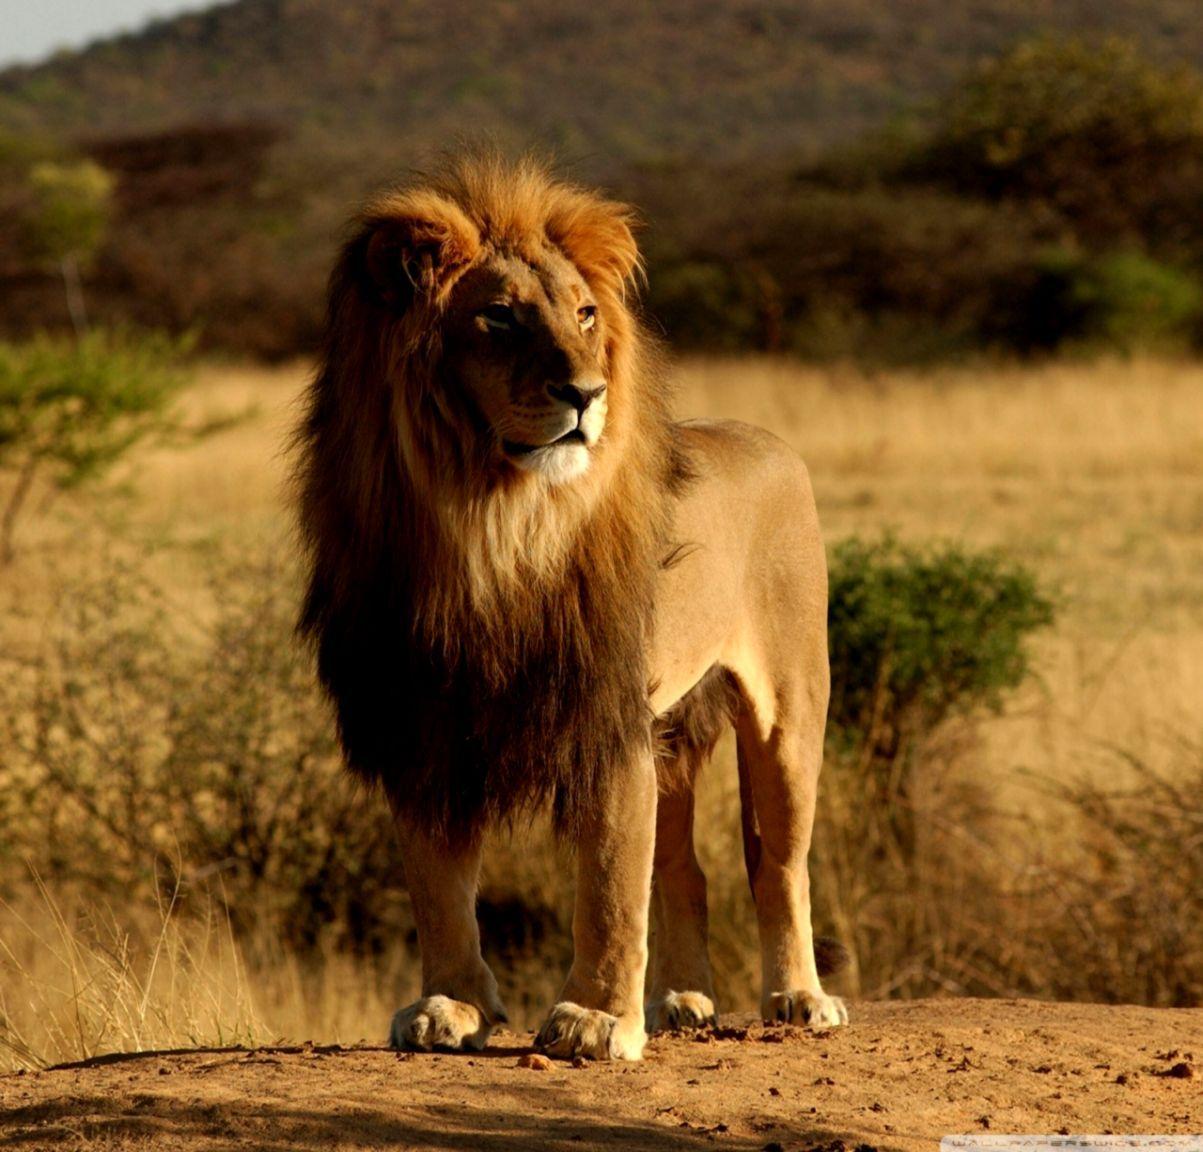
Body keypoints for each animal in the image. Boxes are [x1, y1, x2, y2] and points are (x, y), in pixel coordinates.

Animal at [295, 154, 847, 1062]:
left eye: (585, 315)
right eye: (497, 318)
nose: (585, 392)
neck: (490, 525)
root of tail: (767, 439)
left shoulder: (603, 714)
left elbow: (610, 882)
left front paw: (594, 1019)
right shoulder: (423, 719)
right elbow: (438, 883)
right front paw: (451, 1005)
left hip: (789, 711)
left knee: (778, 864)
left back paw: (798, 997)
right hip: (673, 729)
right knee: (684, 868)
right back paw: (682, 1001)